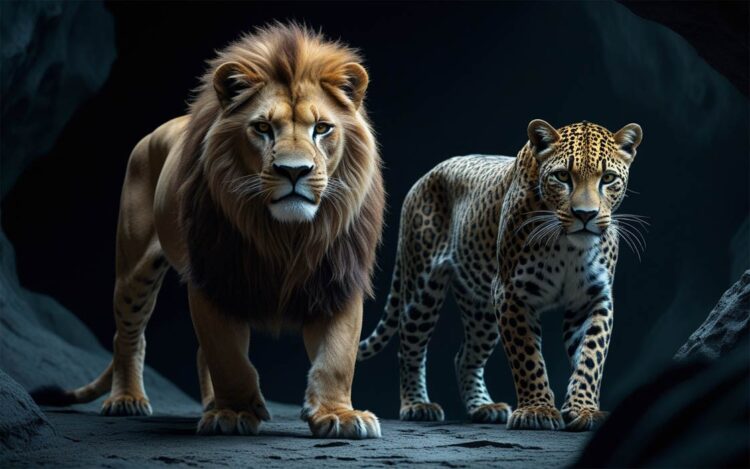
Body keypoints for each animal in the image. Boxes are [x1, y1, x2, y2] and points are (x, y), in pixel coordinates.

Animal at [33, 23, 385, 439]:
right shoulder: (213, 275)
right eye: (263, 128)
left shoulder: (338, 279)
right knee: (128, 335)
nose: (294, 171)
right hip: (135, 270)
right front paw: (234, 413)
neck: (284, 233)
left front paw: (338, 414)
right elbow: (227, 355)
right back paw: (127, 399)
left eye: (323, 128)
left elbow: (337, 356)